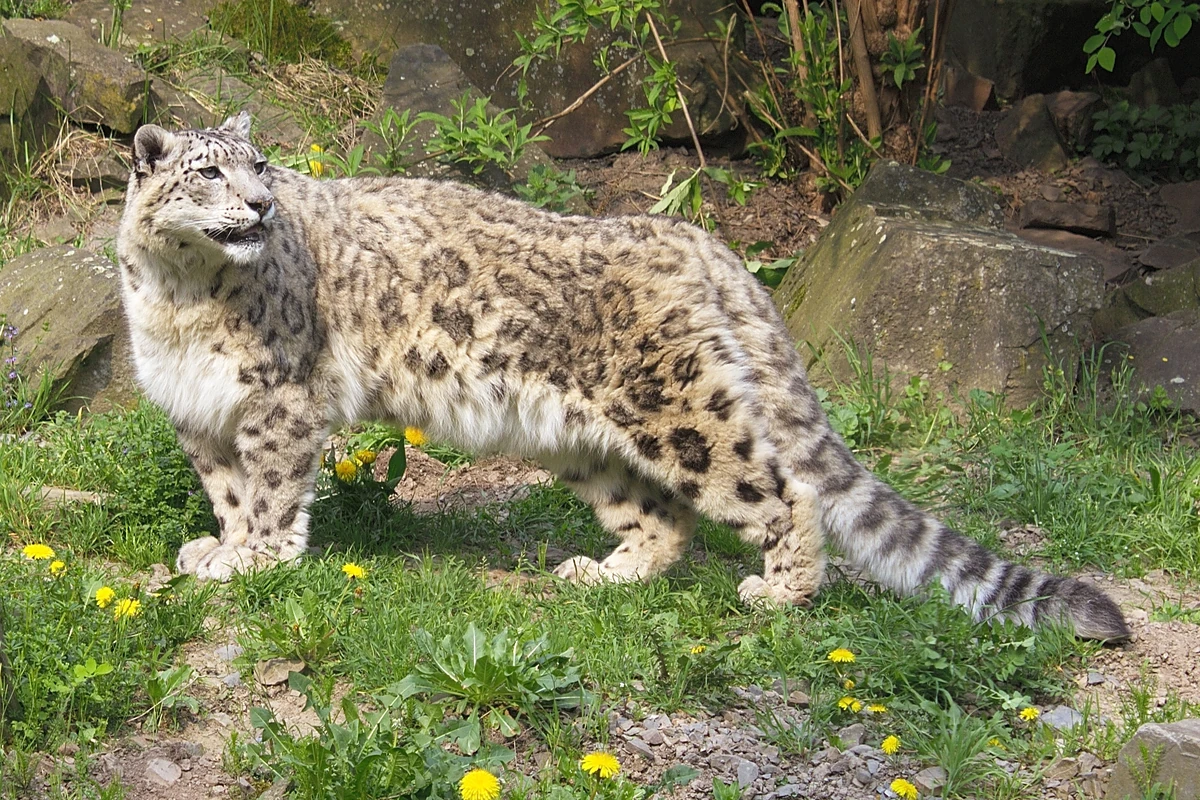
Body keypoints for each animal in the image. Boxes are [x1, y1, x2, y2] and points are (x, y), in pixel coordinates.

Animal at [116, 112, 1129, 641]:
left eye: (261, 165)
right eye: (208, 173)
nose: (260, 204)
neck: (180, 296)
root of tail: (694, 237)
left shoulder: (279, 401)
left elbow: (272, 492)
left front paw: (254, 562)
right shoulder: (199, 412)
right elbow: (228, 490)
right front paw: (219, 549)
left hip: (683, 412)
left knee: (781, 491)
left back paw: (783, 590)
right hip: (589, 439)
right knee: (662, 519)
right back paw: (604, 574)